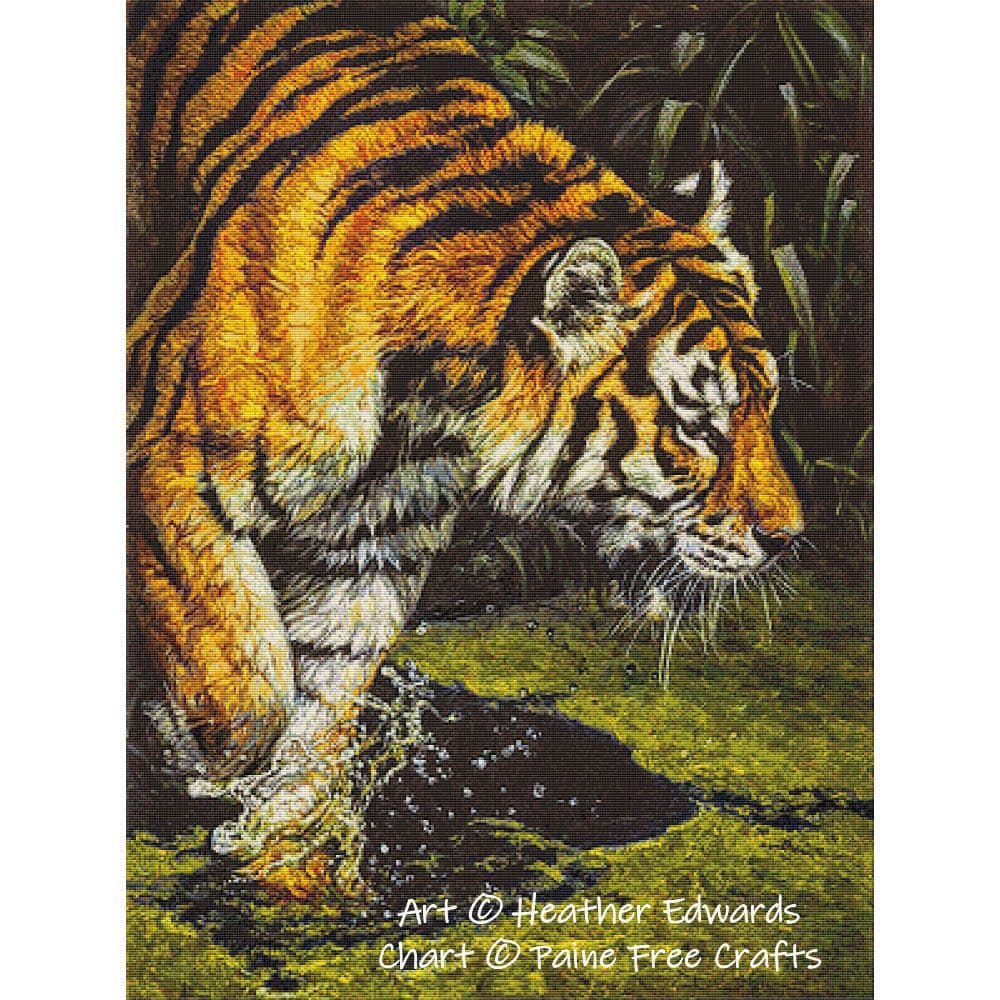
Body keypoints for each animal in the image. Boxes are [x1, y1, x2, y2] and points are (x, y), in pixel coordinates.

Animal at [127, 0, 804, 896]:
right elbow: (245, 678)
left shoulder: (369, 543)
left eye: (766, 405)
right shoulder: (165, 456)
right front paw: (190, 753)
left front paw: (291, 855)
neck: (436, 396)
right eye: (701, 425)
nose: (789, 537)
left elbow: (320, 706)